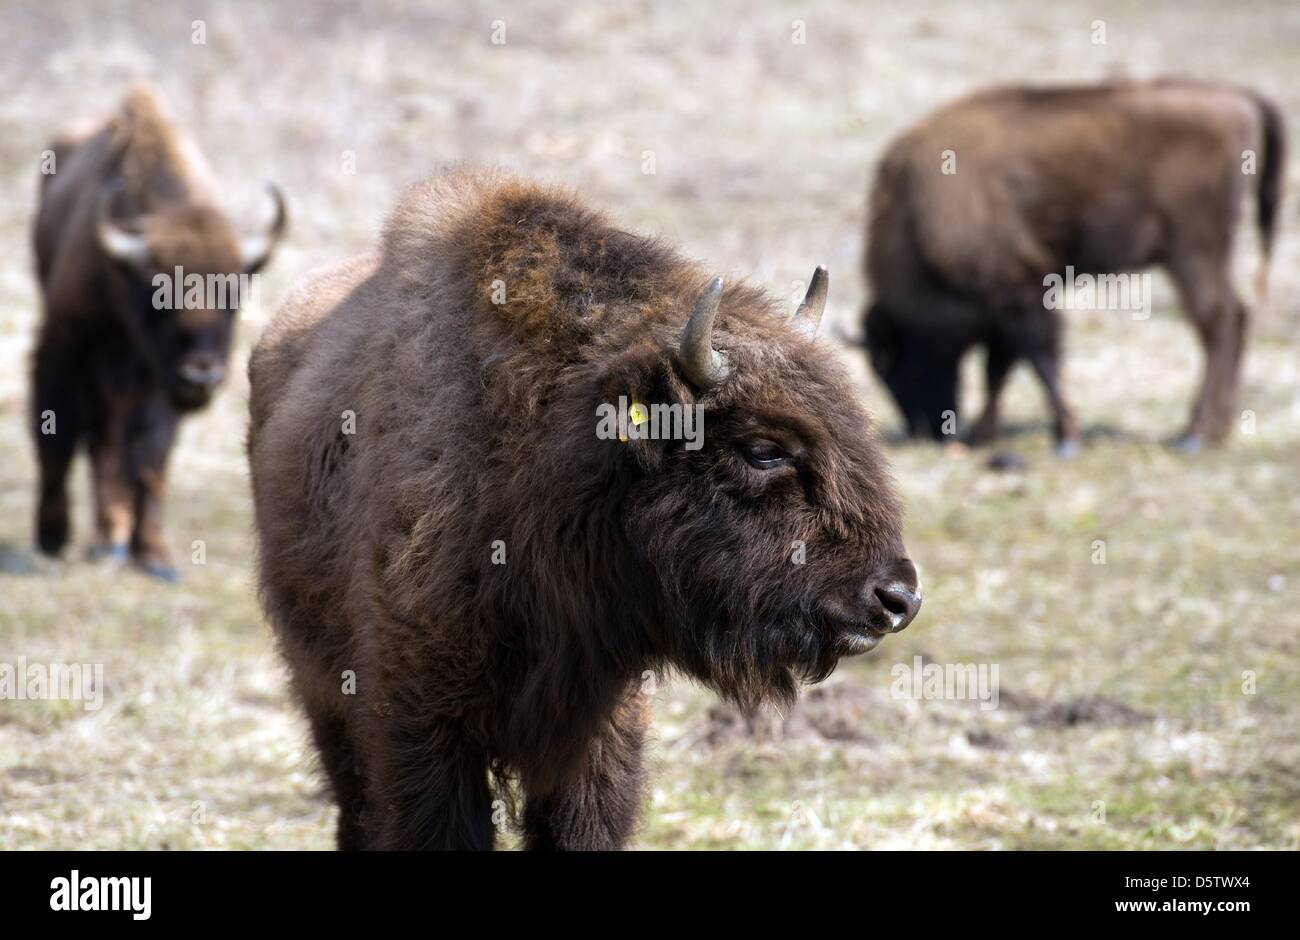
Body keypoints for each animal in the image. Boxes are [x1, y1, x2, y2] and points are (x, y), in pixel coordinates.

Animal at [32, 85, 286, 578]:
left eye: (235, 293)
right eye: (157, 292)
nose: (201, 375)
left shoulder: (158, 386)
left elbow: (151, 454)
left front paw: (155, 555)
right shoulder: (67, 344)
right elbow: (61, 434)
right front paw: (57, 536)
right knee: (95, 438)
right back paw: (95, 537)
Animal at [861, 79, 1285, 453]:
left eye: (897, 364)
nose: (925, 430)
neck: (915, 213)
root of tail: (1237, 97)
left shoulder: (1018, 291)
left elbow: (1038, 359)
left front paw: (1065, 435)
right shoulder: (1006, 305)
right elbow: (1002, 367)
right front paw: (985, 434)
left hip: (1194, 253)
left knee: (1219, 322)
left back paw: (1195, 434)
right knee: (1235, 318)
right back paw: (1216, 430)